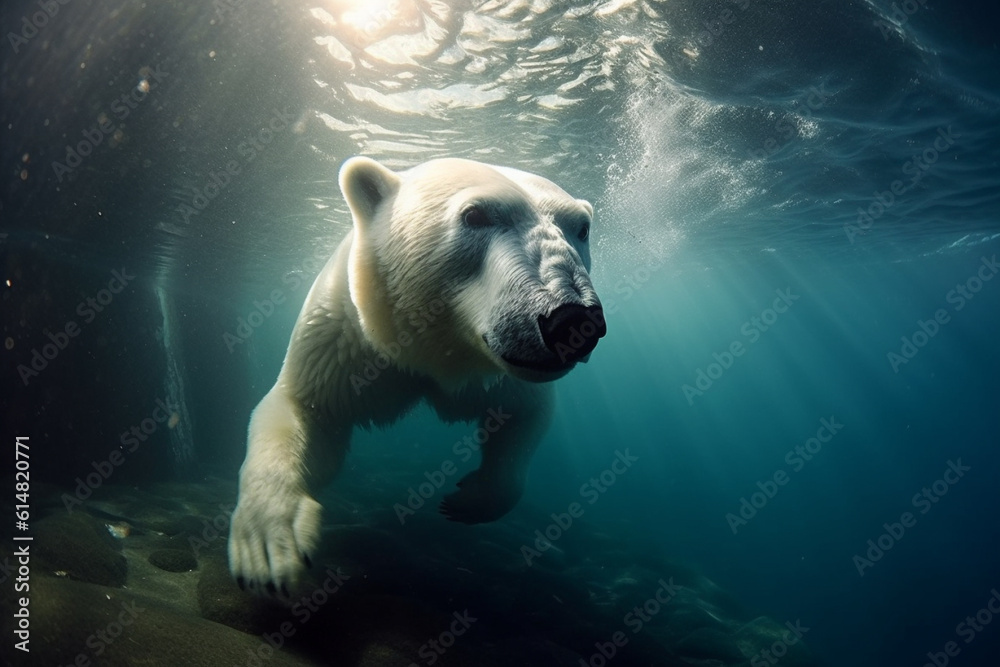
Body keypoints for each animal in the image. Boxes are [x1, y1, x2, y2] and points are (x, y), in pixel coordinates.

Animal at [228, 156, 606, 596]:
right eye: (475, 215)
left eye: (581, 227)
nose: (572, 320)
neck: (434, 347)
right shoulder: (346, 334)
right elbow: (306, 410)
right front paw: (268, 545)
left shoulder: (502, 372)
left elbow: (525, 418)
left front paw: (467, 499)